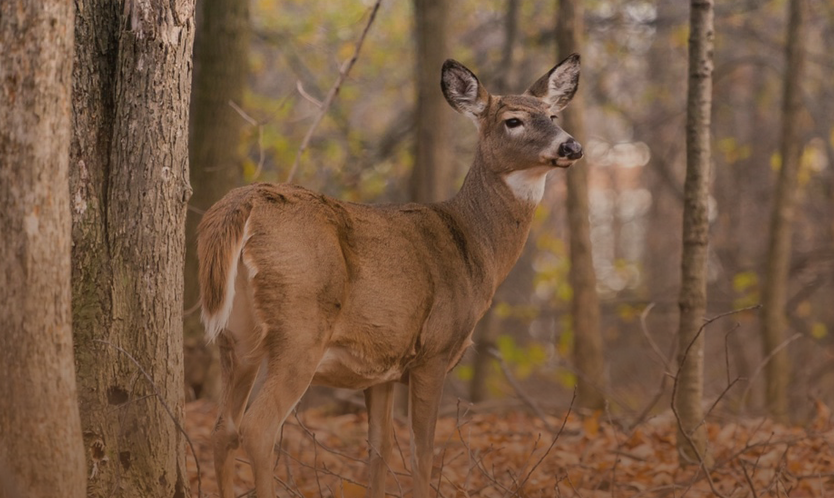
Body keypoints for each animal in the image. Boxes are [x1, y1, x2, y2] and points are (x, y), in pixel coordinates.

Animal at [199, 54, 583, 498]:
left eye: (553, 114)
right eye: (513, 120)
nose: (571, 146)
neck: (474, 248)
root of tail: (243, 204)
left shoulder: (380, 366)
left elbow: (379, 451)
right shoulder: (434, 352)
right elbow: (421, 453)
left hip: (236, 337)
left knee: (222, 429)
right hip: (299, 326)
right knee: (258, 429)